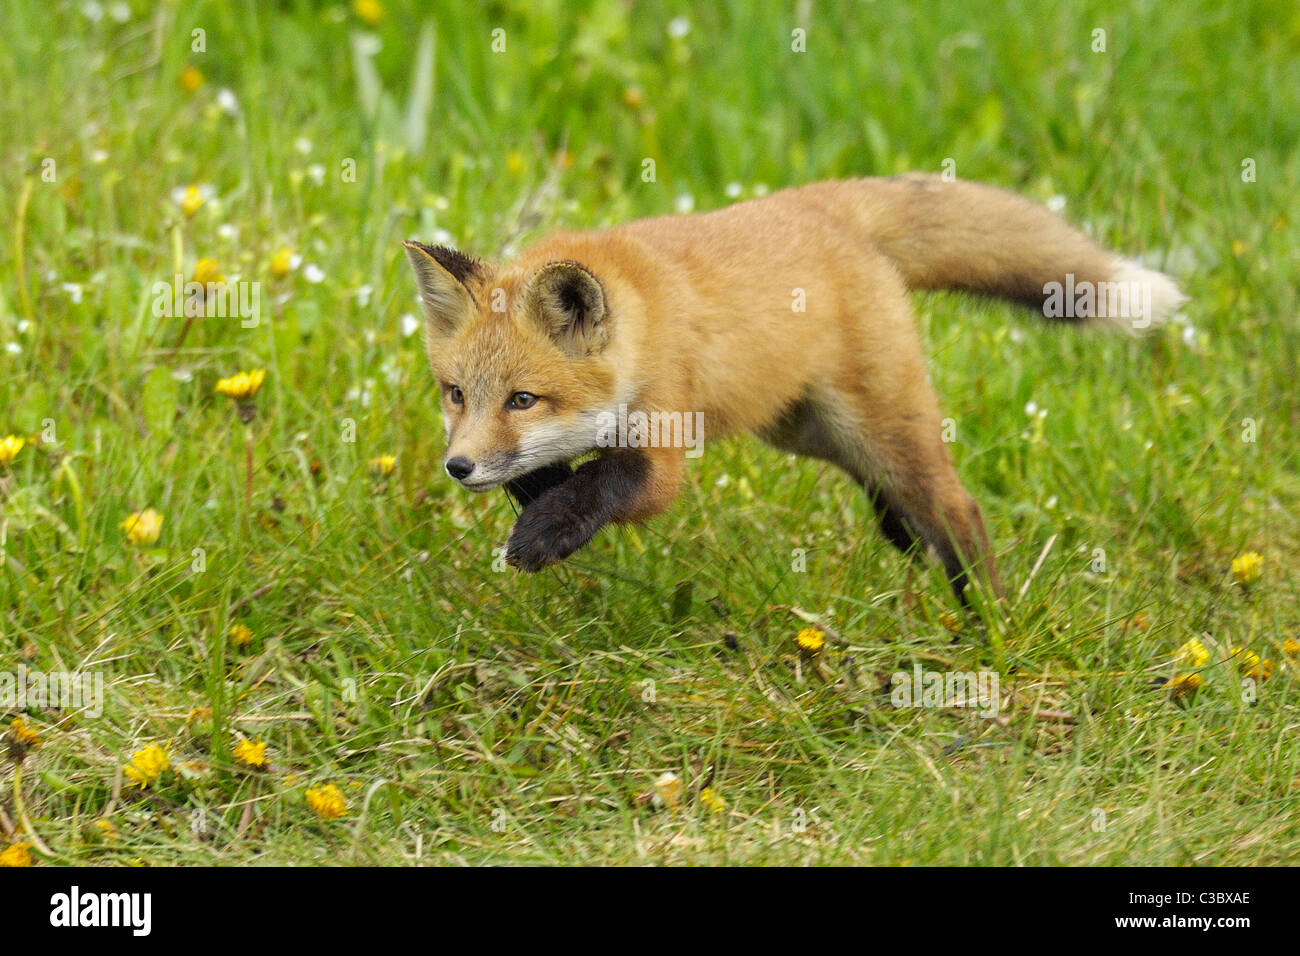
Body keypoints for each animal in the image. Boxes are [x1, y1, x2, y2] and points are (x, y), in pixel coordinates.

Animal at [403, 174, 1184, 602]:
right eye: (455, 393)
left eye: (522, 399)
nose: (457, 466)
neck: (639, 322)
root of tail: (824, 203)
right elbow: (548, 474)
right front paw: (538, 505)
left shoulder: (661, 445)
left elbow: (606, 484)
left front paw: (545, 533)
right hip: (804, 427)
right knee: (895, 495)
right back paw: (905, 536)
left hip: (878, 421)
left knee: (958, 508)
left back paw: (985, 624)